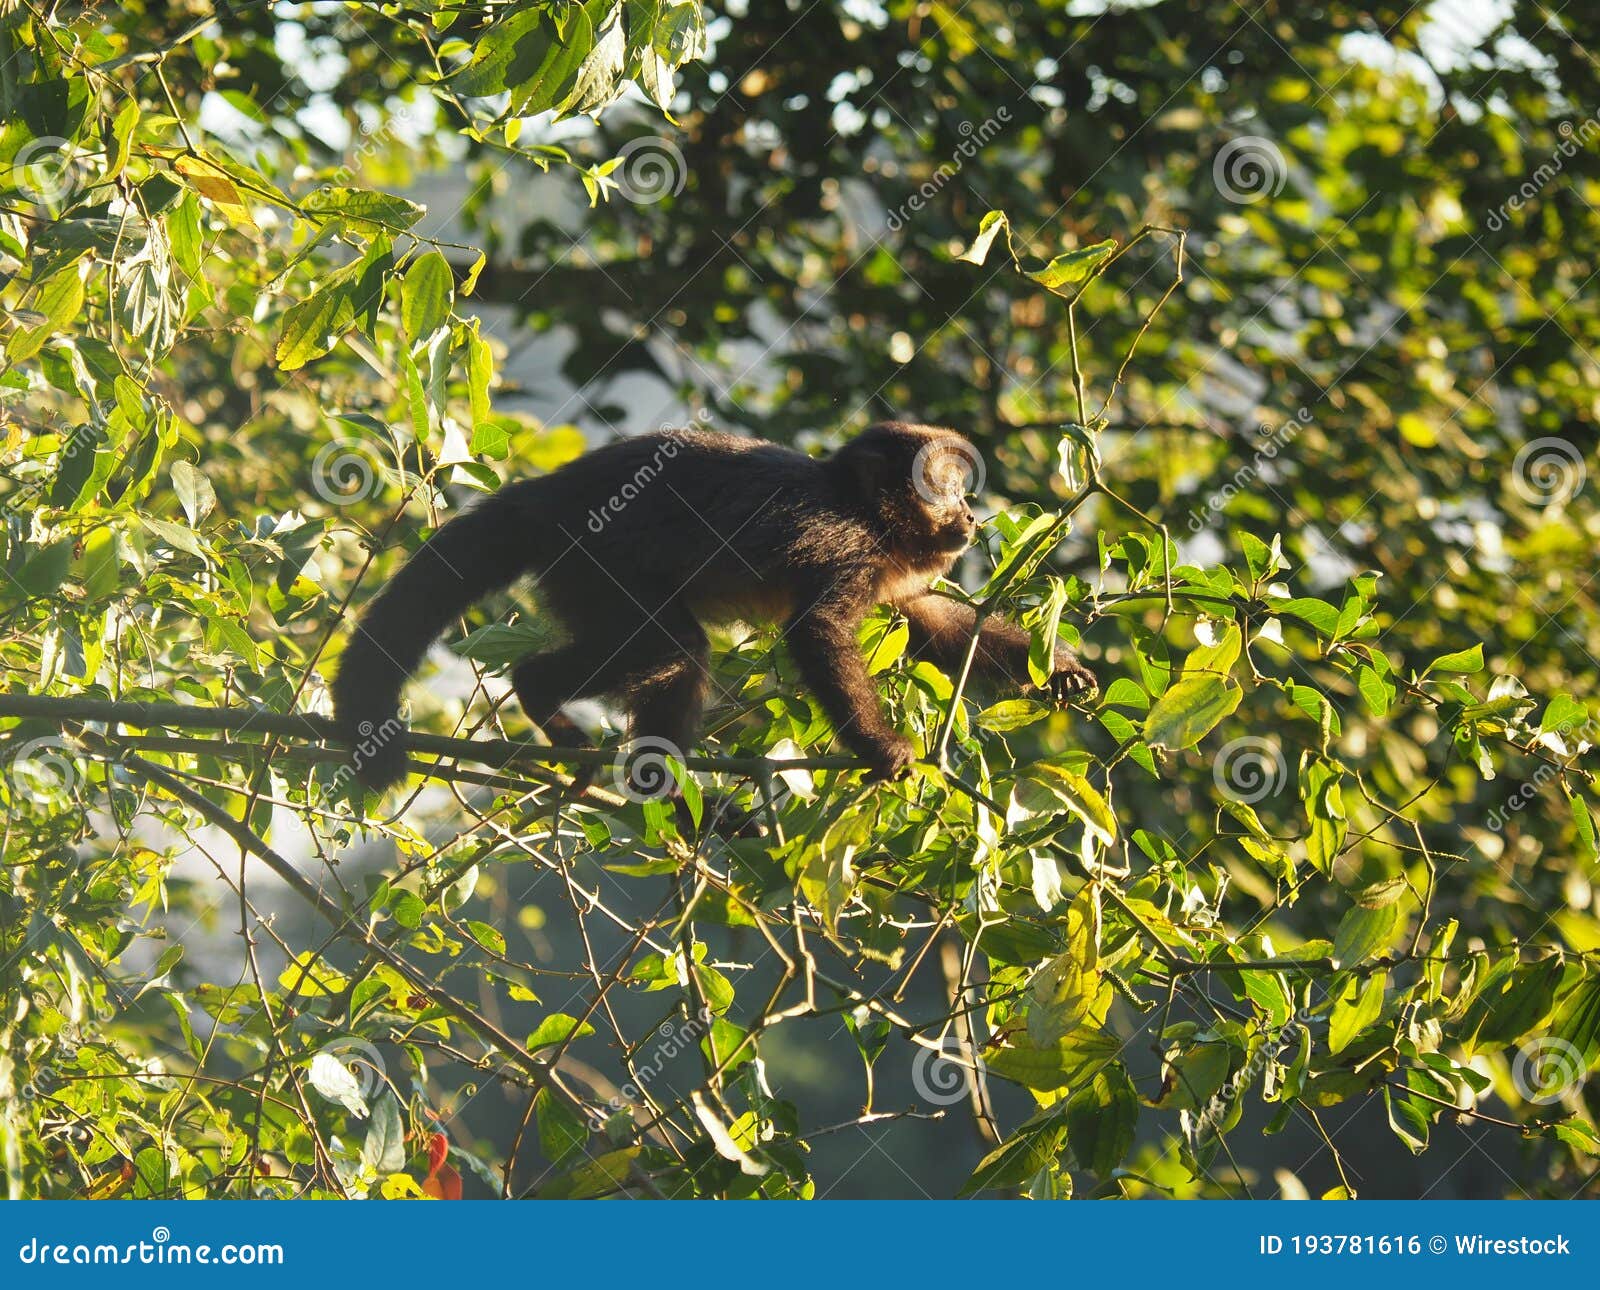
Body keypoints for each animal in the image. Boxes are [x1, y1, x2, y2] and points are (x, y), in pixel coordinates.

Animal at [331, 420, 1097, 794]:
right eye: (947, 490)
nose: (969, 514)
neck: (865, 514)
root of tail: (547, 495)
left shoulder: (891, 570)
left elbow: (932, 622)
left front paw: (1060, 668)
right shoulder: (844, 543)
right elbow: (817, 628)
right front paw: (882, 749)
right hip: (591, 564)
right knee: (671, 650)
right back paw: (552, 703)